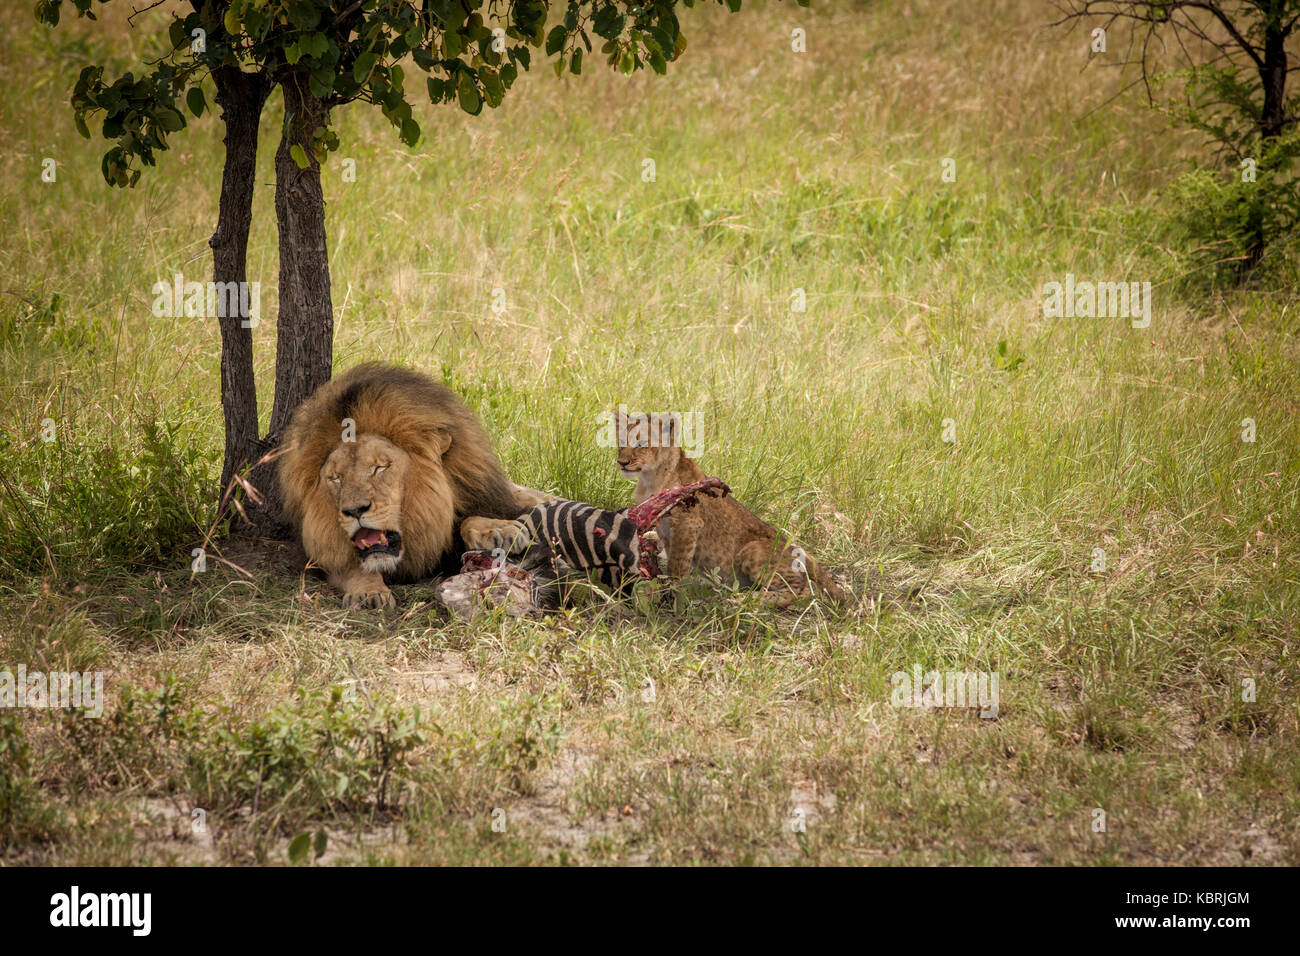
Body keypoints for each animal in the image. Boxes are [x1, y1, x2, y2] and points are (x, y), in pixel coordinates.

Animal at [278, 363, 548, 608]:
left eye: (379, 468)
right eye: (336, 478)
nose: (354, 510)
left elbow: (468, 521)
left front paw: (499, 531)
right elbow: (354, 568)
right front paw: (369, 592)